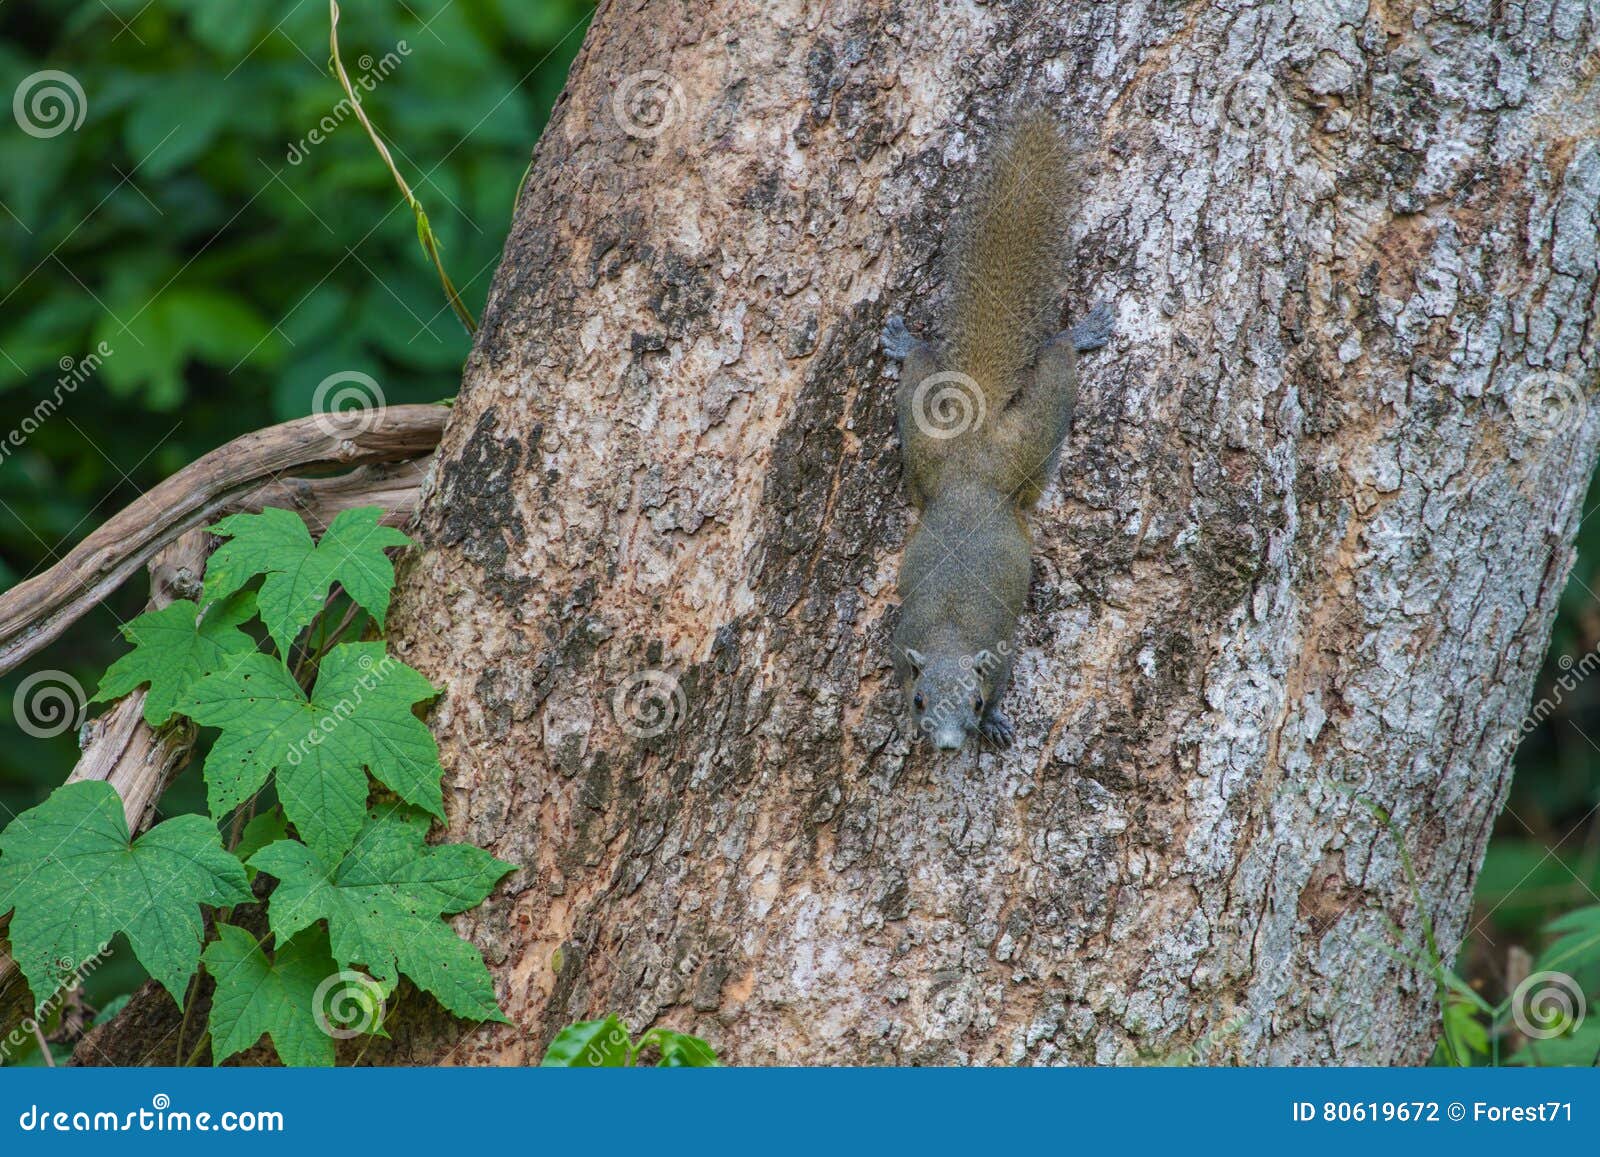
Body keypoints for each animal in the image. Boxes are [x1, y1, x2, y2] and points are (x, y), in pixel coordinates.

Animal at [882, 110, 1112, 752]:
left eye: (977, 700)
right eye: (919, 700)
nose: (946, 744)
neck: (952, 633)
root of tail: (976, 450)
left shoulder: (1001, 656)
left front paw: (1000, 724)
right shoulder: (902, 645)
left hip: (1022, 446)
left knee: (1053, 376)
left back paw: (1078, 333)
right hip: (932, 449)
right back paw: (908, 343)